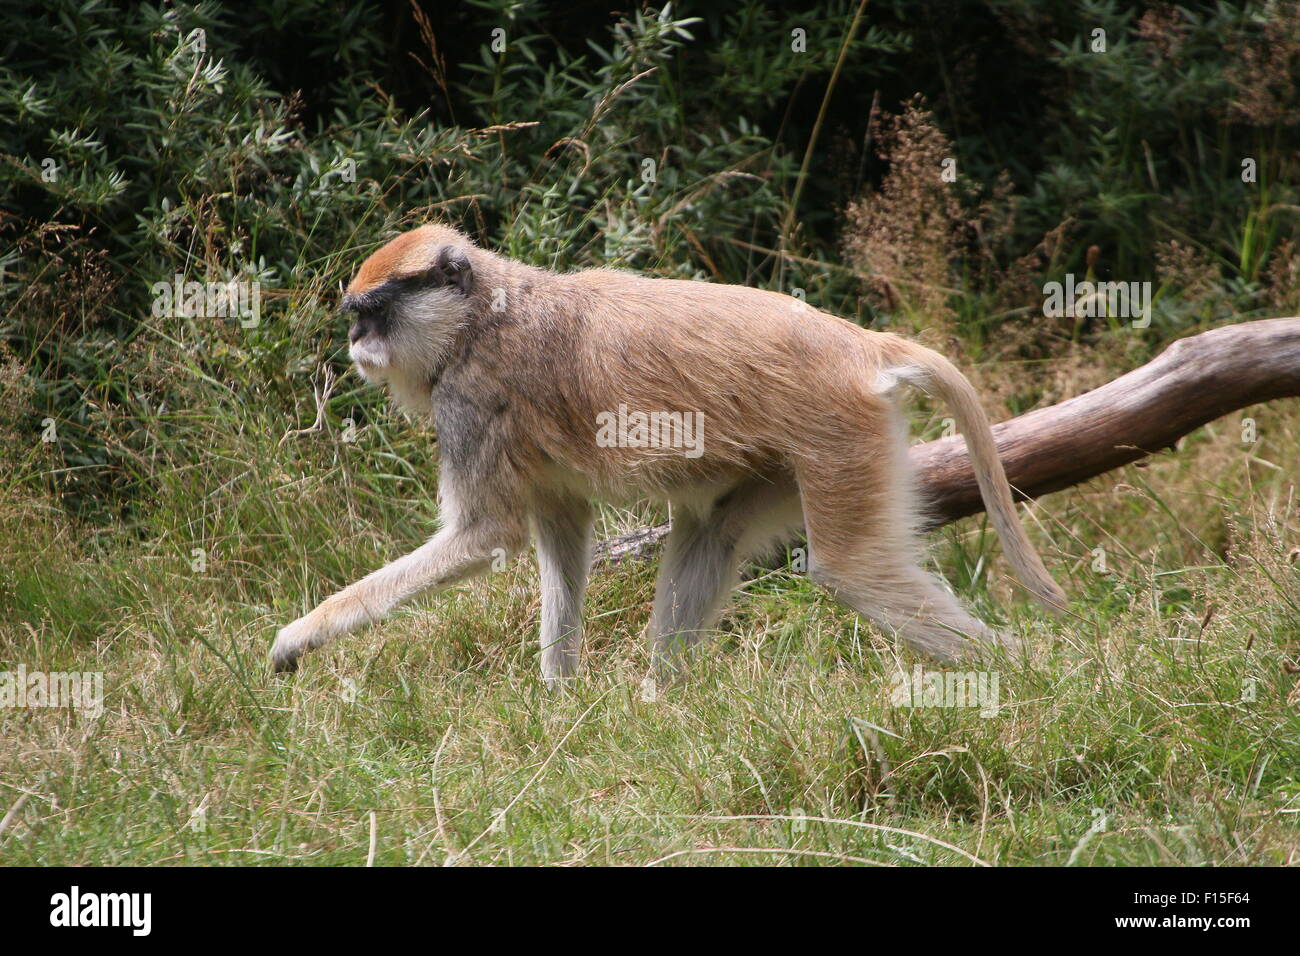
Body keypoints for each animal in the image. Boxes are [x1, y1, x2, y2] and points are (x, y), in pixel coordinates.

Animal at [270, 222, 1067, 682]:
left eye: (374, 312)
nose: (356, 343)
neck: (479, 316)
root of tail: (857, 344)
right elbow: (562, 533)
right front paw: (559, 695)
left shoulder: (471, 404)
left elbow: (483, 537)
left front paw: (298, 637)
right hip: (791, 454)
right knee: (714, 530)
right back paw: (660, 701)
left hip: (840, 434)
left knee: (857, 573)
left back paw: (1038, 677)